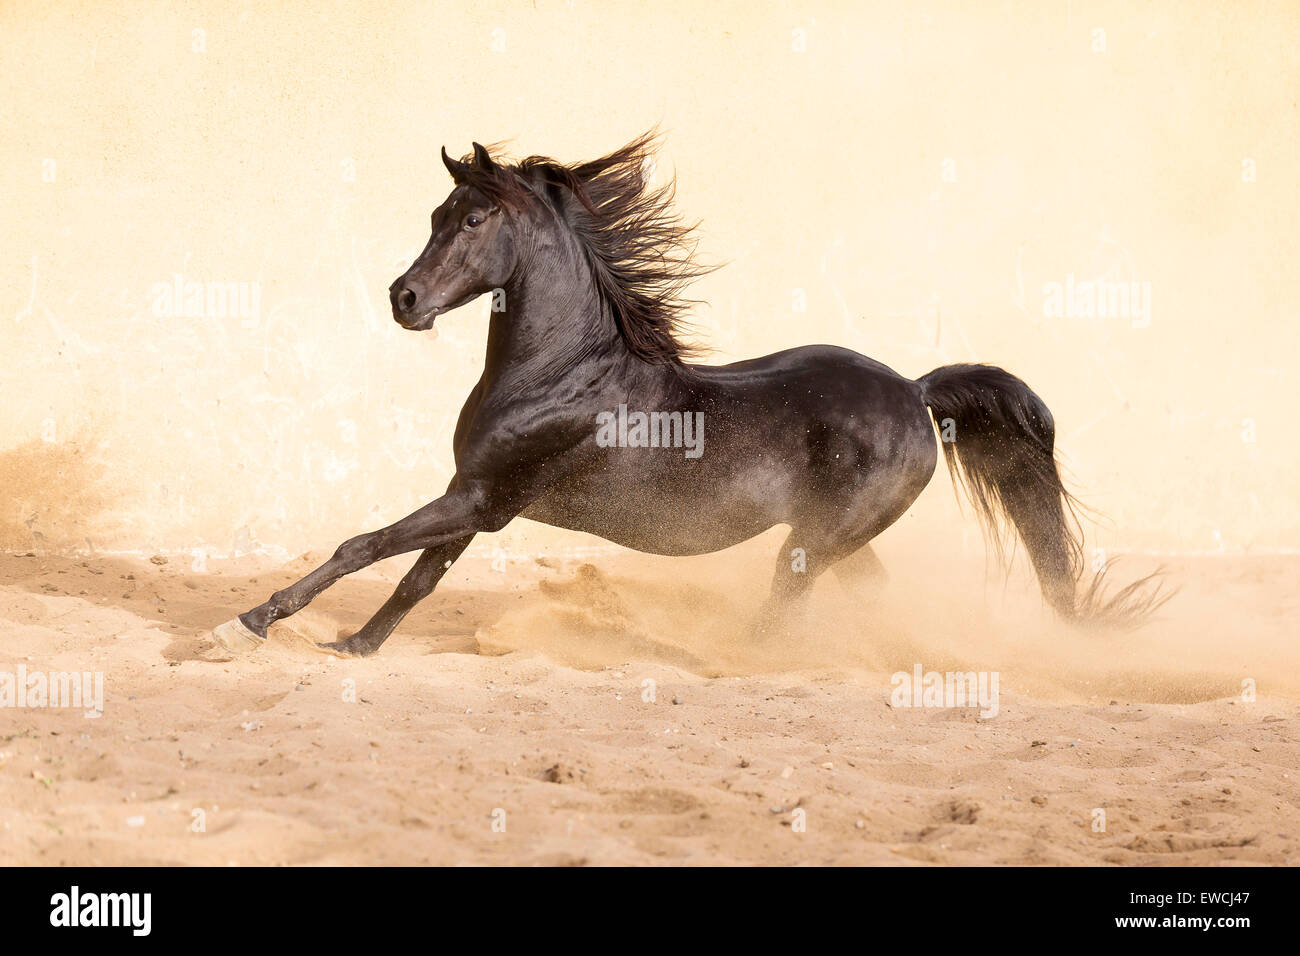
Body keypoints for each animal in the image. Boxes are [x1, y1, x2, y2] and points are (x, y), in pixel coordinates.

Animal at [210, 132, 1166, 657]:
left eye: (473, 219)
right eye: (437, 216)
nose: (403, 299)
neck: (562, 372)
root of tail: (914, 391)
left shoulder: (485, 498)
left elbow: (363, 545)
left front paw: (255, 619)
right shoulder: (479, 500)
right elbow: (415, 579)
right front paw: (354, 646)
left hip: (816, 542)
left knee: (779, 617)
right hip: (836, 541)